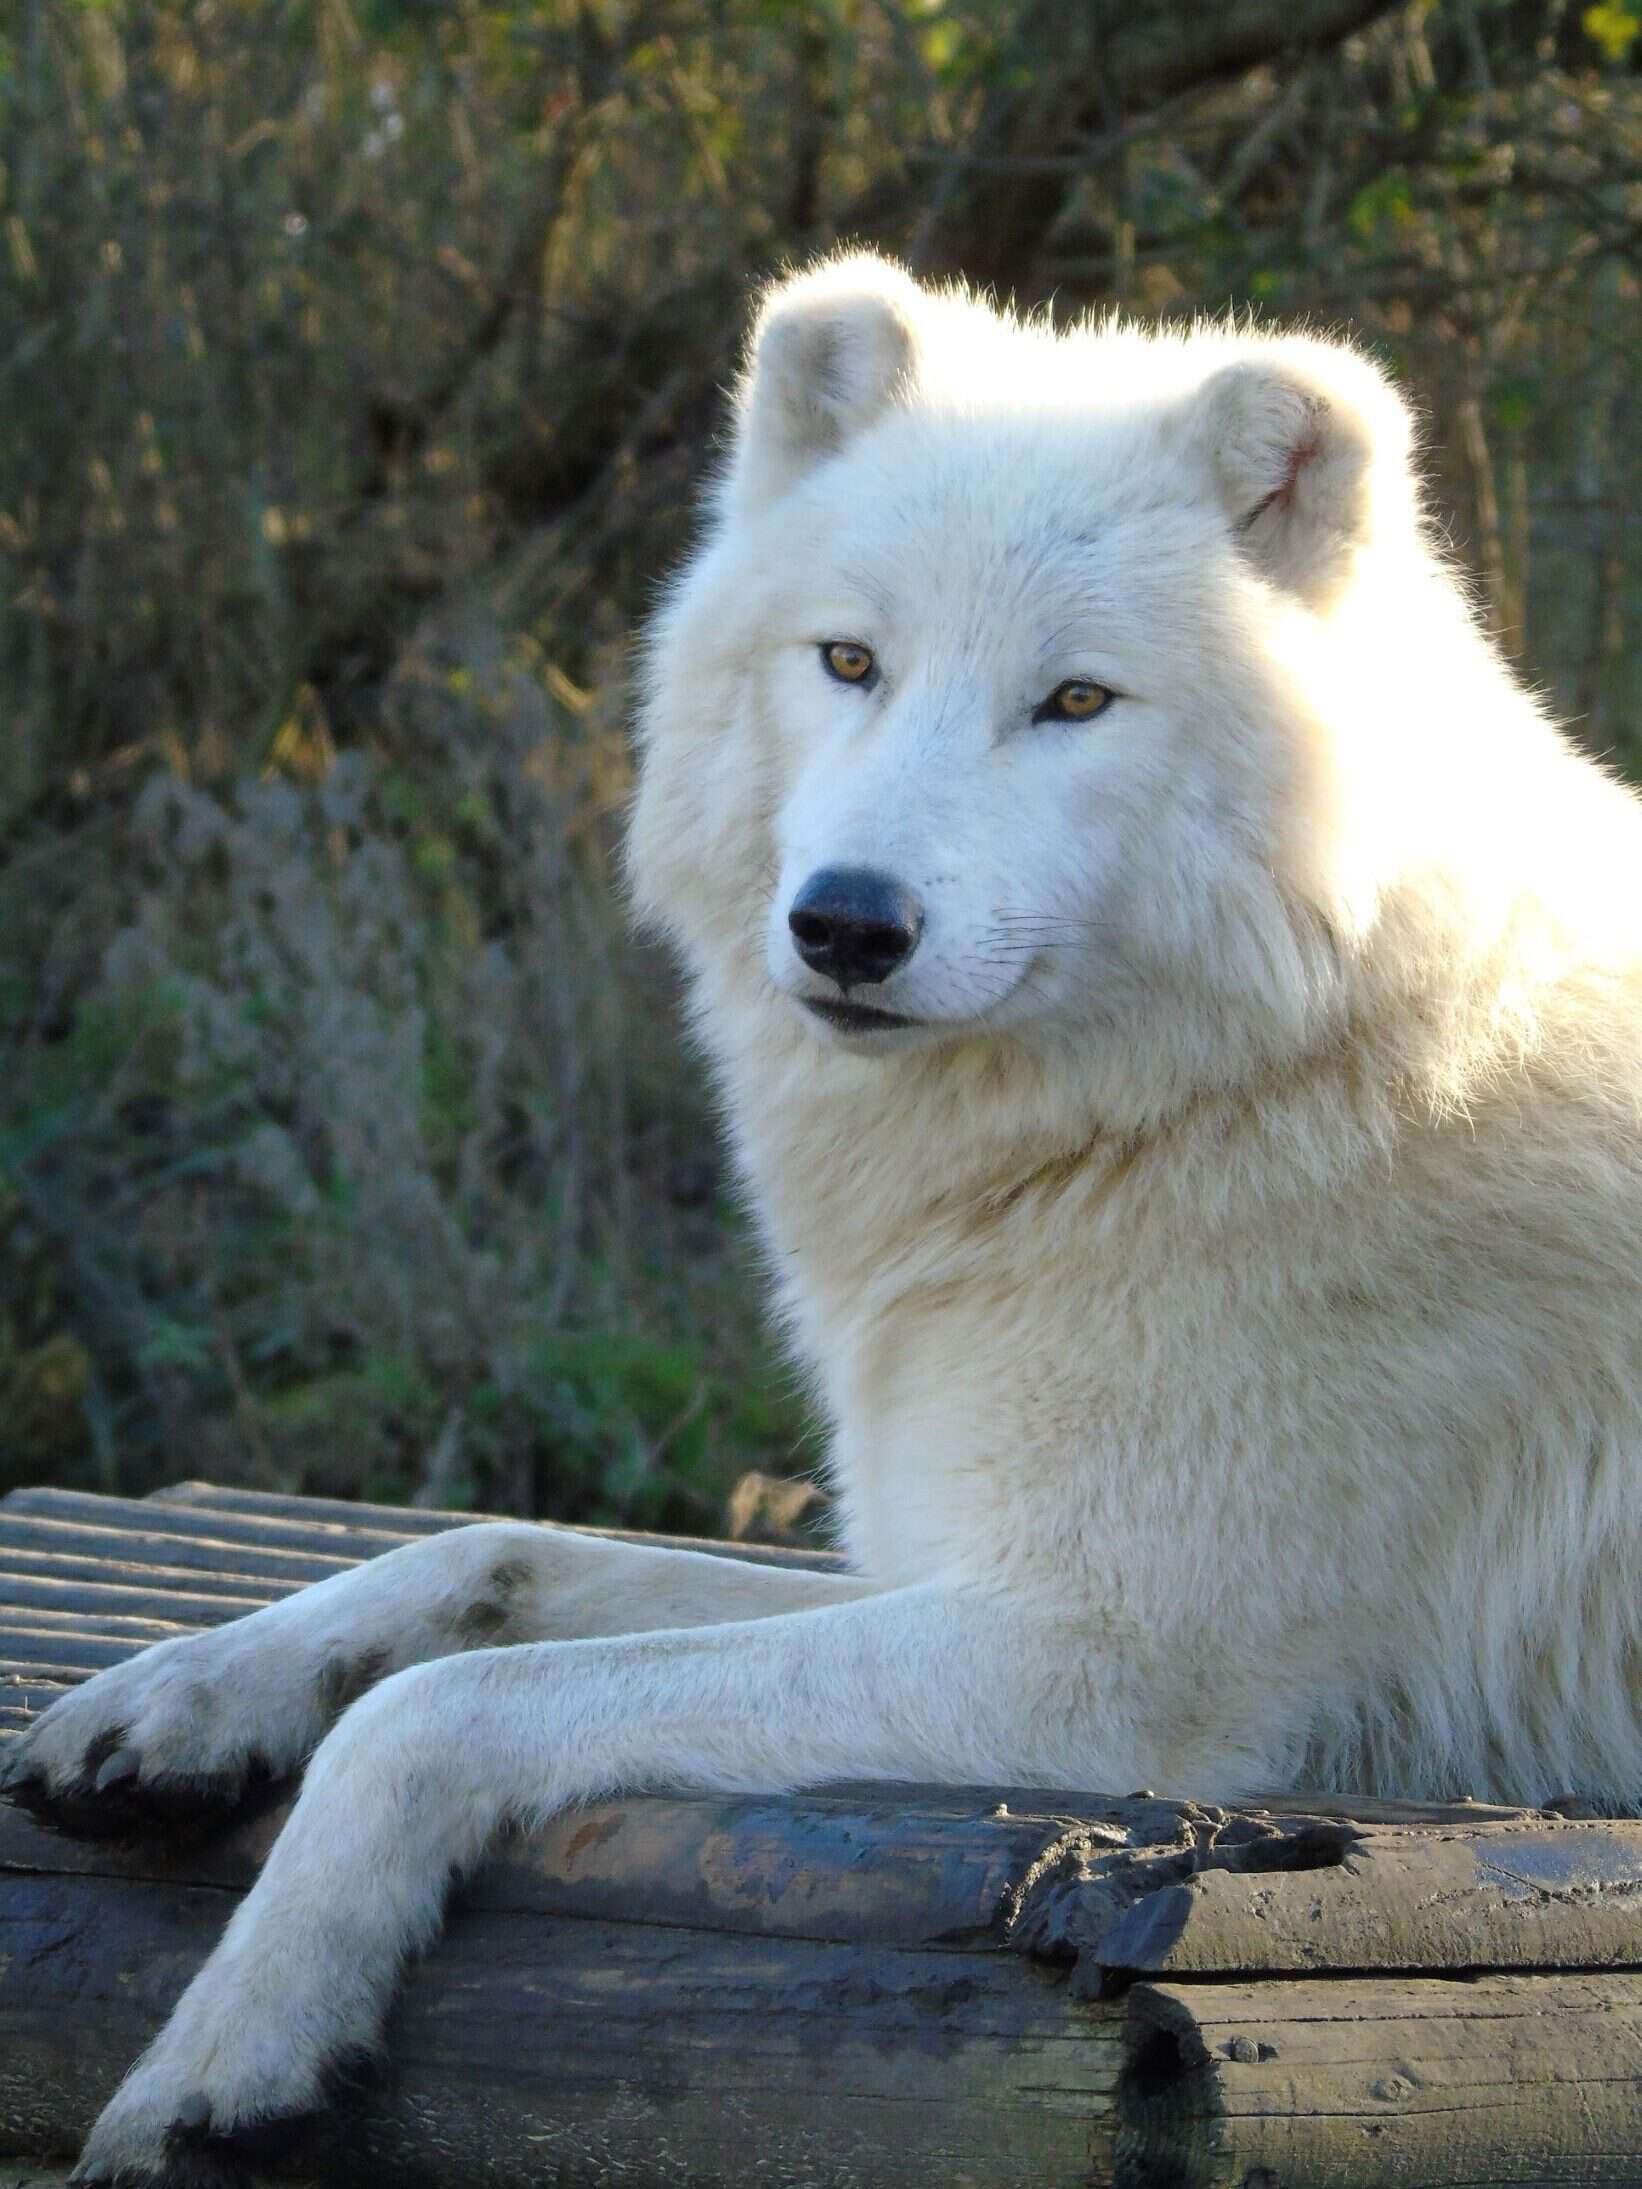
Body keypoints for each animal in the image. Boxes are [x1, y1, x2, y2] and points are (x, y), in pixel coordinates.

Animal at [8, 253, 1642, 2184]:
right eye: (850, 662)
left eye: (1073, 702)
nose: (847, 924)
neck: (1255, 1077)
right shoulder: (916, 1563)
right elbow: (484, 1555)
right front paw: (181, 1693)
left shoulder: (1092, 1672)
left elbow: (432, 1711)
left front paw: (228, 2050)